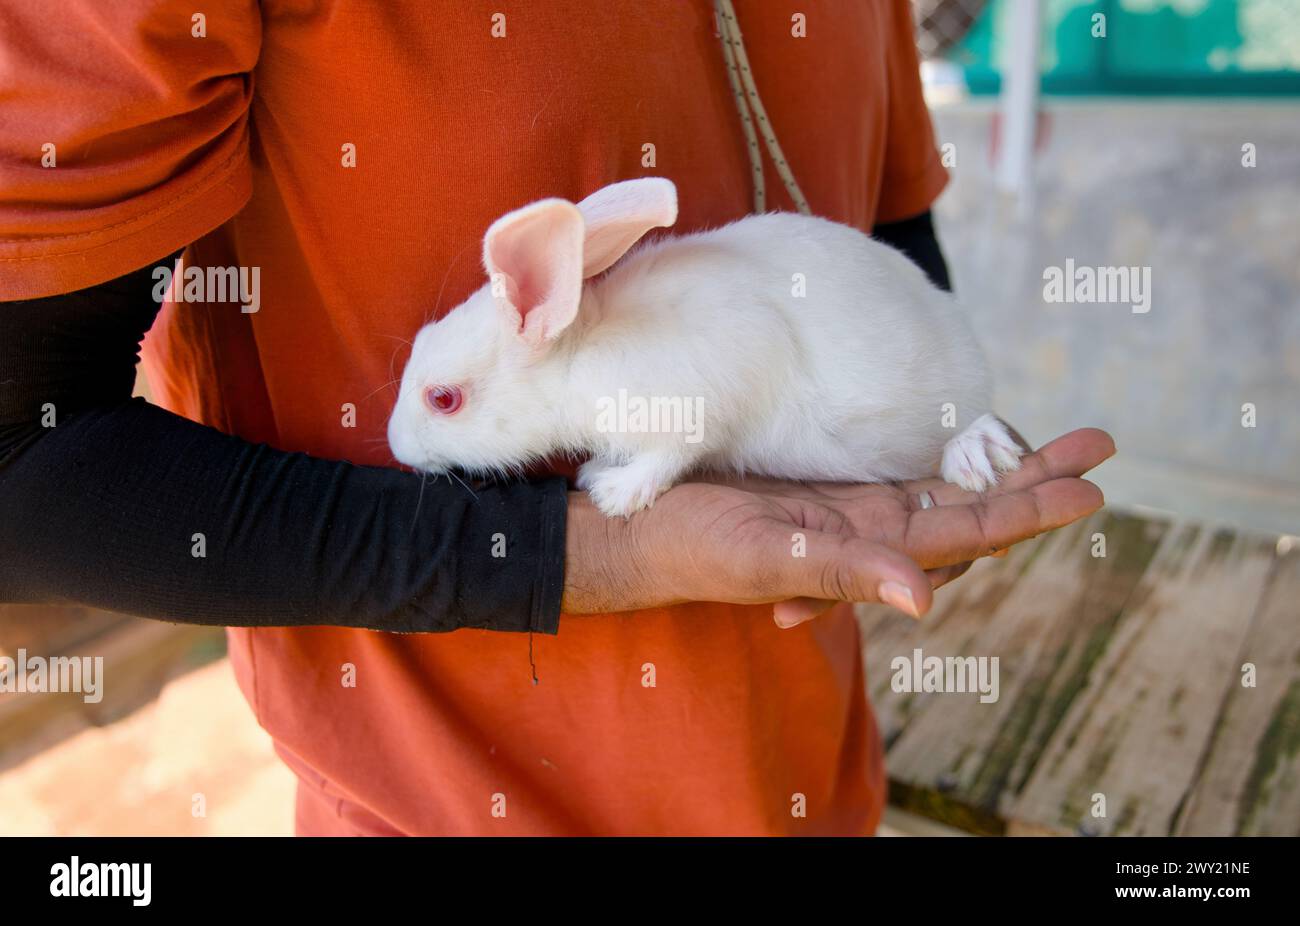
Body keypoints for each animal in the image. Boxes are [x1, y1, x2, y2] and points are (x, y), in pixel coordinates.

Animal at [388, 177, 1023, 518]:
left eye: (443, 399)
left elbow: (672, 455)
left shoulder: (699, 398)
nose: (396, 447)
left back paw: (977, 455)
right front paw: (601, 469)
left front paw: (617, 493)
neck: (580, 354)